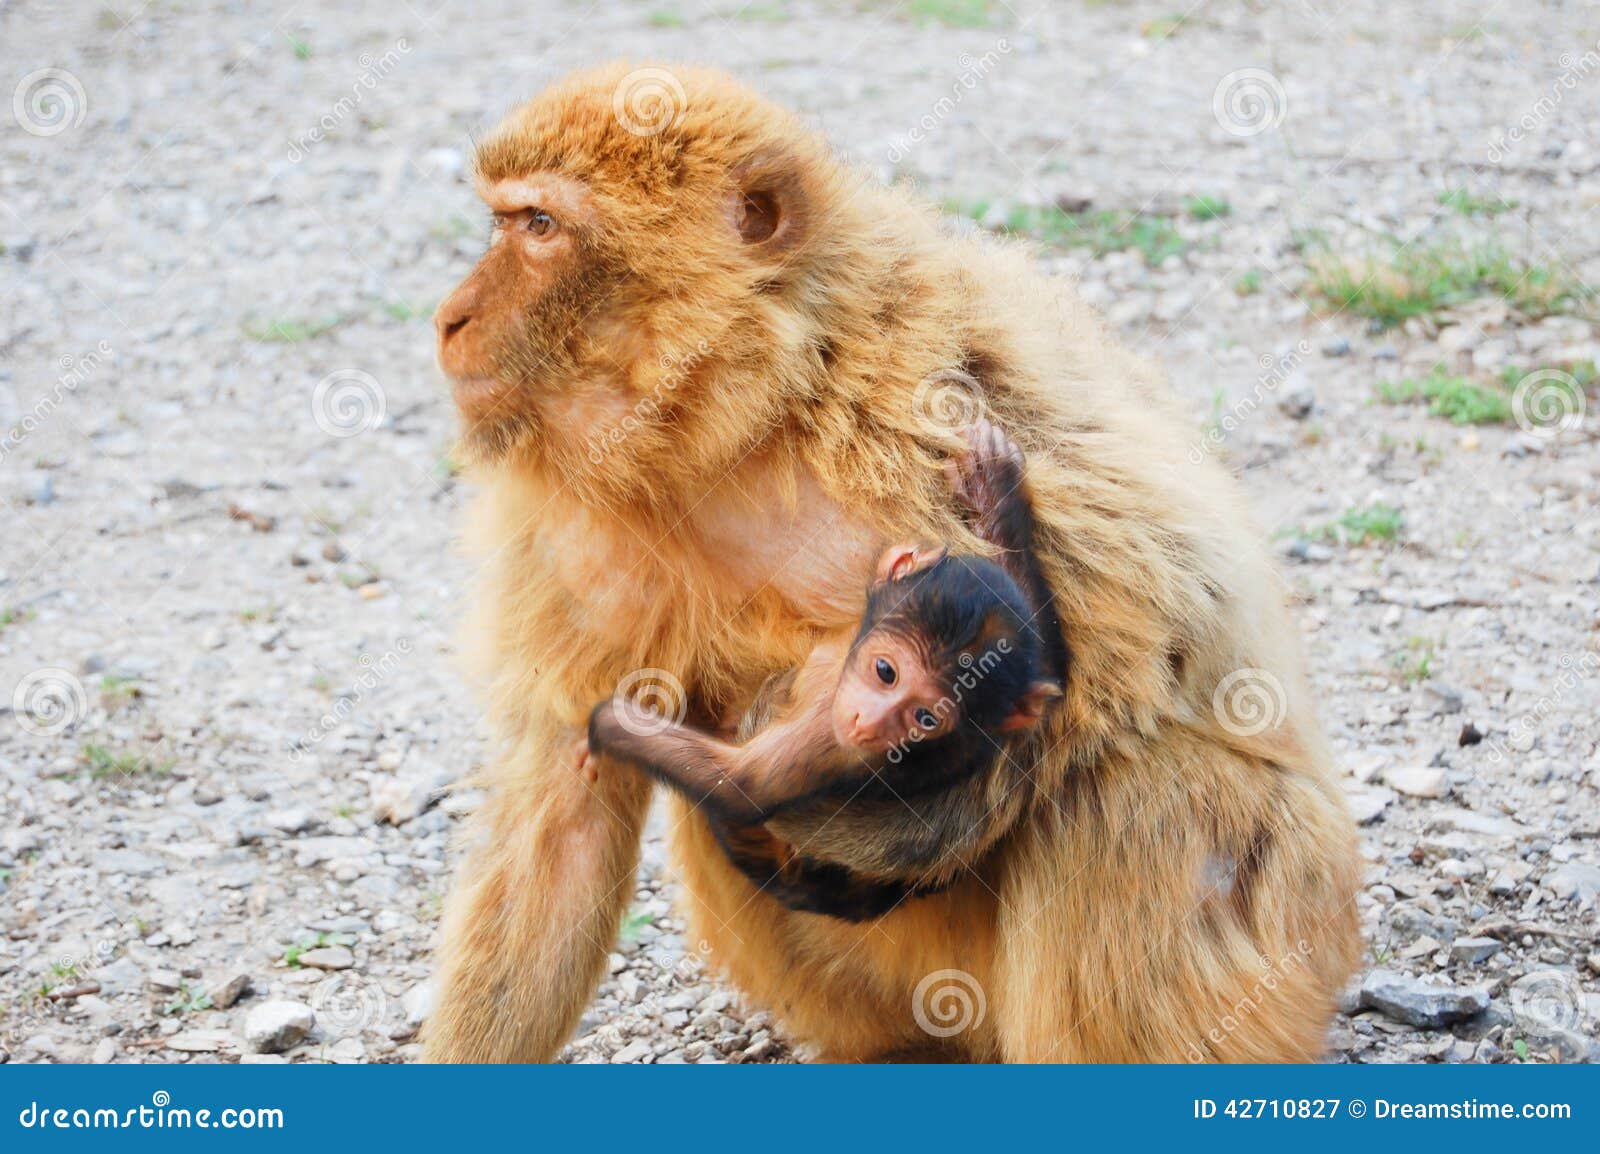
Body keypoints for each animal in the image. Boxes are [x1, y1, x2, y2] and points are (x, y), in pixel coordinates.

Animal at [585, 419, 1066, 921]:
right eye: (886, 672)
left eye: (925, 719)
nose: (870, 723)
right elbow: (1047, 678)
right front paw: (995, 488)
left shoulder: (827, 732)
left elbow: (741, 784)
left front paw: (606, 725)